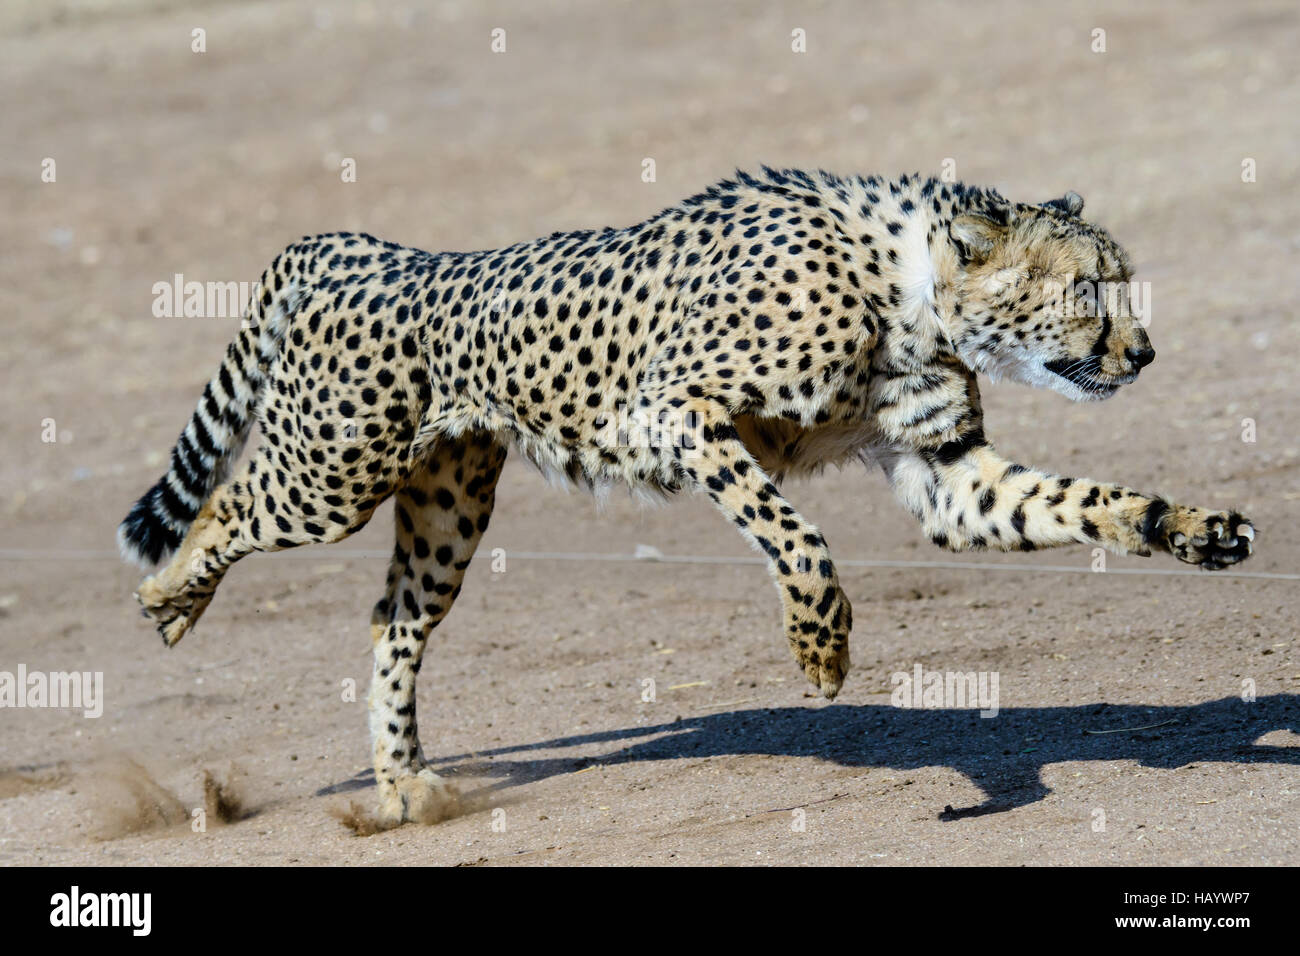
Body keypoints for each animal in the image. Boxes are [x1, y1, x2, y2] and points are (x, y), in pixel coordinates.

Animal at [119, 167, 1255, 827]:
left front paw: (1196, 529)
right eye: (1087, 289)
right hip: (332, 474)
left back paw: (402, 784)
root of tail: (376, 248)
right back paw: (169, 600)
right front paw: (821, 649)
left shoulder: (947, 475)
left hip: (445, 507)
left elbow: (1086, 499)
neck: (908, 291)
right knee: (225, 509)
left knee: (391, 622)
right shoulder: (669, 412)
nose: (1144, 353)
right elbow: (795, 535)